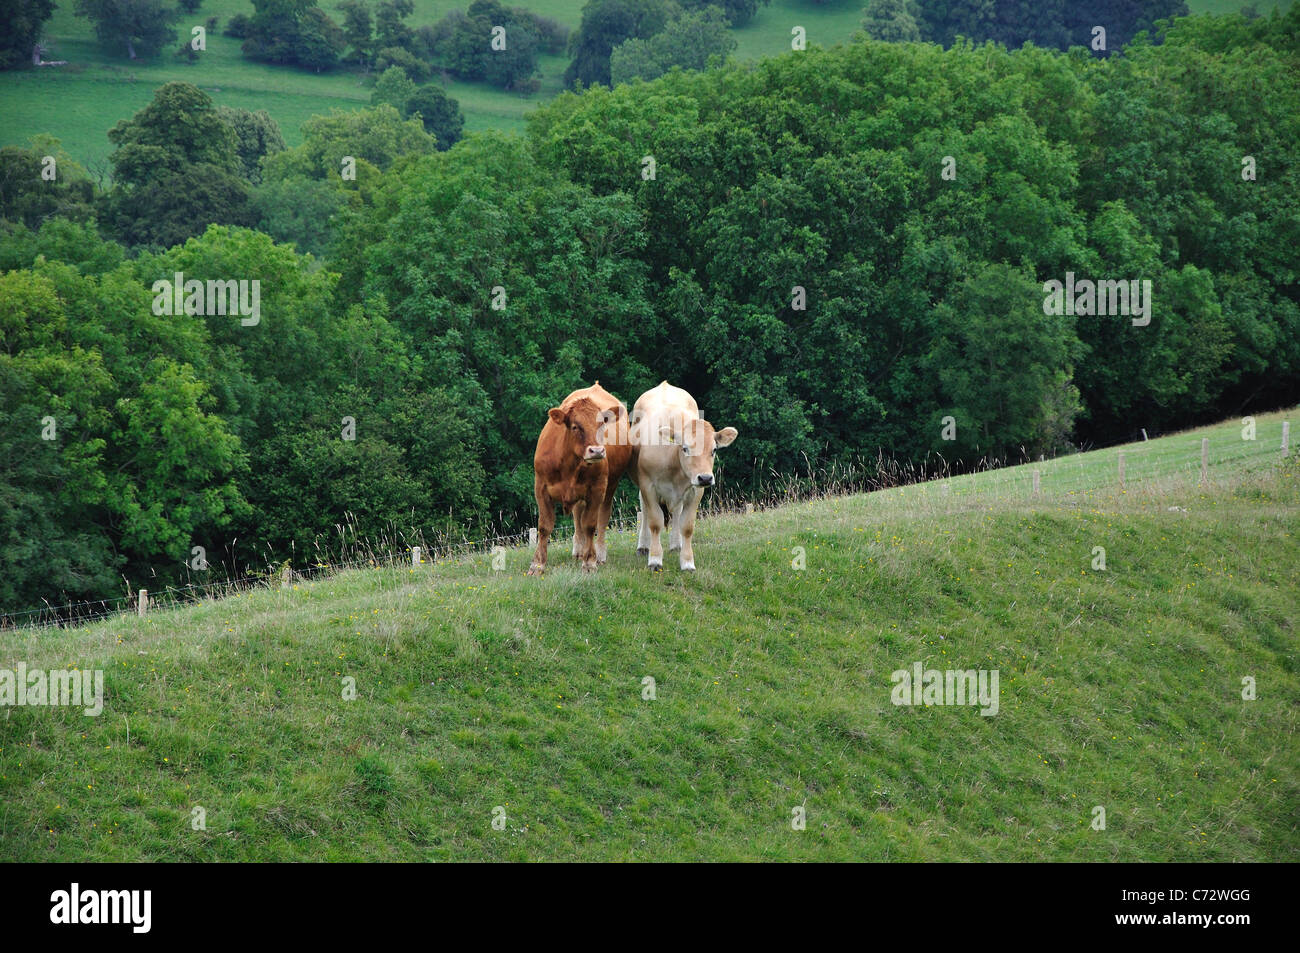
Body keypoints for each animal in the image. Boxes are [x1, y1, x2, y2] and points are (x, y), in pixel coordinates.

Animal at [528, 382, 633, 575]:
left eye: (602, 424)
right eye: (575, 426)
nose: (597, 451)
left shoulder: (597, 489)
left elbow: (590, 524)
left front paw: (589, 562)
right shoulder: (541, 487)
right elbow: (544, 526)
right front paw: (538, 565)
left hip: (611, 485)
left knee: (602, 517)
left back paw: (599, 554)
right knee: (577, 516)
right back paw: (578, 549)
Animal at [631, 381, 737, 571]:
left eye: (714, 450)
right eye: (685, 448)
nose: (705, 478)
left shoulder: (696, 491)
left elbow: (687, 526)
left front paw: (687, 562)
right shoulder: (648, 486)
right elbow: (655, 522)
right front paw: (655, 559)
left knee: (676, 513)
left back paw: (676, 544)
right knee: (645, 510)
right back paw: (643, 546)